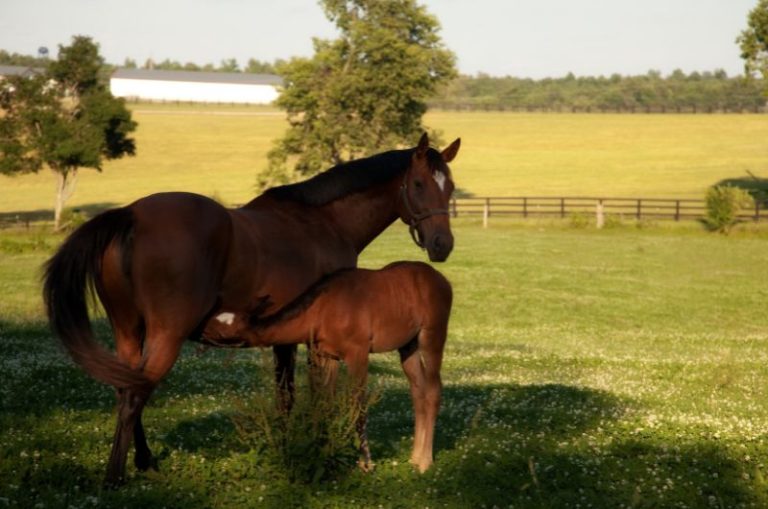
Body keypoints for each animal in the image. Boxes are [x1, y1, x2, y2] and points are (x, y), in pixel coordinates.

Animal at [206, 261, 452, 473]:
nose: (199, 329)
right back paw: (415, 457)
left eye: (221, 330)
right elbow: (326, 403)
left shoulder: (358, 354)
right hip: (408, 346)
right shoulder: (327, 357)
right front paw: (324, 453)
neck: (323, 311)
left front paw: (365, 463)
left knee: (433, 390)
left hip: (432, 335)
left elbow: (358, 405)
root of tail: (443, 280)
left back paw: (425, 462)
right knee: (418, 391)